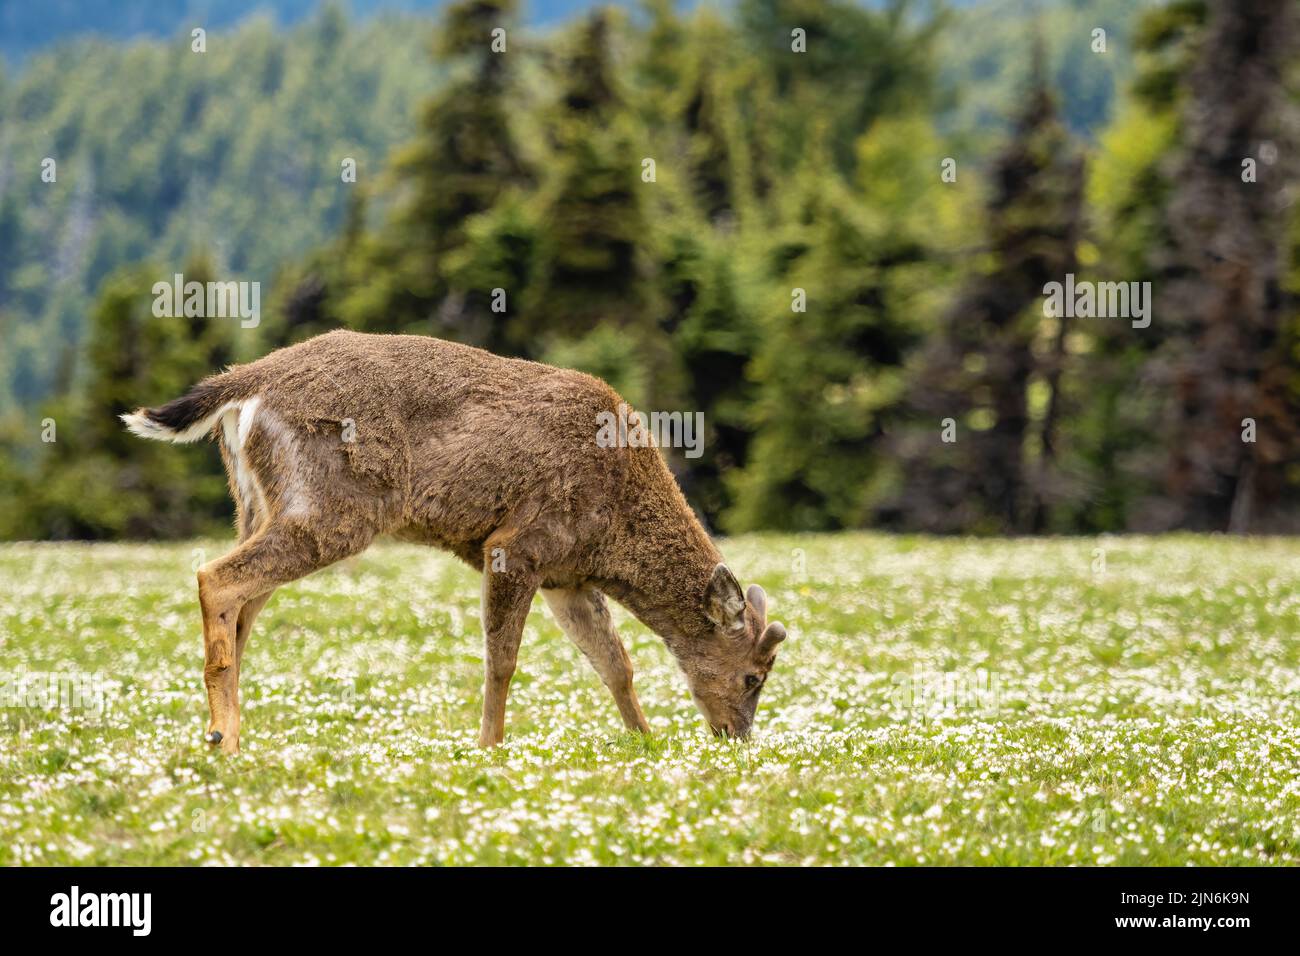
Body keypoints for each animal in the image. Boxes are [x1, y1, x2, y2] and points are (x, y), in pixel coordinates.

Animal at [122, 330, 787, 753]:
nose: (736, 737)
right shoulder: (518, 543)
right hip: (332, 509)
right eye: (754, 677)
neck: (615, 528)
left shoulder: (567, 576)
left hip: (259, 506)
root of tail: (247, 381)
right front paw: (490, 745)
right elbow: (503, 660)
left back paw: (226, 734)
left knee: (240, 605)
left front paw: (645, 741)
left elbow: (614, 663)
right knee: (216, 578)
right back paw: (223, 736)